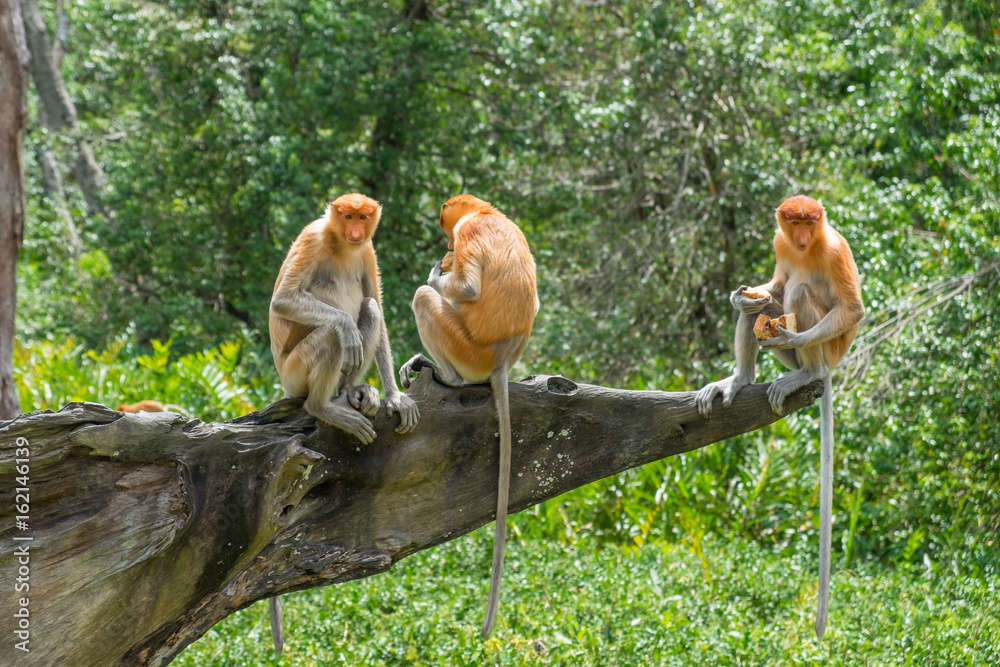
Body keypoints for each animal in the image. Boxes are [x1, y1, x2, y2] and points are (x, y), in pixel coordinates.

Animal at [267, 192, 420, 654]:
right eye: (347, 215)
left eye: (363, 217)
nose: (355, 230)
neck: (341, 245)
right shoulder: (313, 239)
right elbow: (285, 300)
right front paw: (344, 326)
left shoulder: (367, 252)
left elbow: (376, 302)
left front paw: (395, 396)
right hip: (295, 371)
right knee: (335, 336)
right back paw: (325, 405)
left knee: (368, 307)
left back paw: (356, 393)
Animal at [399, 194, 539, 640]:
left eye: (449, 234)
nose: (446, 247)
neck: (486, 212)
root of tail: (500, 361)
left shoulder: (469, 233)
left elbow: (467, 289)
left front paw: (437, 272)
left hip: (466, 349)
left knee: (425, 298)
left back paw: (446, 376)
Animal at [694, 195, 864, 639]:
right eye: (794, 223)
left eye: (810, 223)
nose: (802, 238)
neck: (808, 248)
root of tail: (834, 366)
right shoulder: (779, 244)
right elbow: (773, 285)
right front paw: (740, 296)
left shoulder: (834, 250)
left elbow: (852, 308)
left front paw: (791, 334)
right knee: (759, 311)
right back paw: (739, 378)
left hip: (829, 348)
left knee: (802, 292)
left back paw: (806, 370)